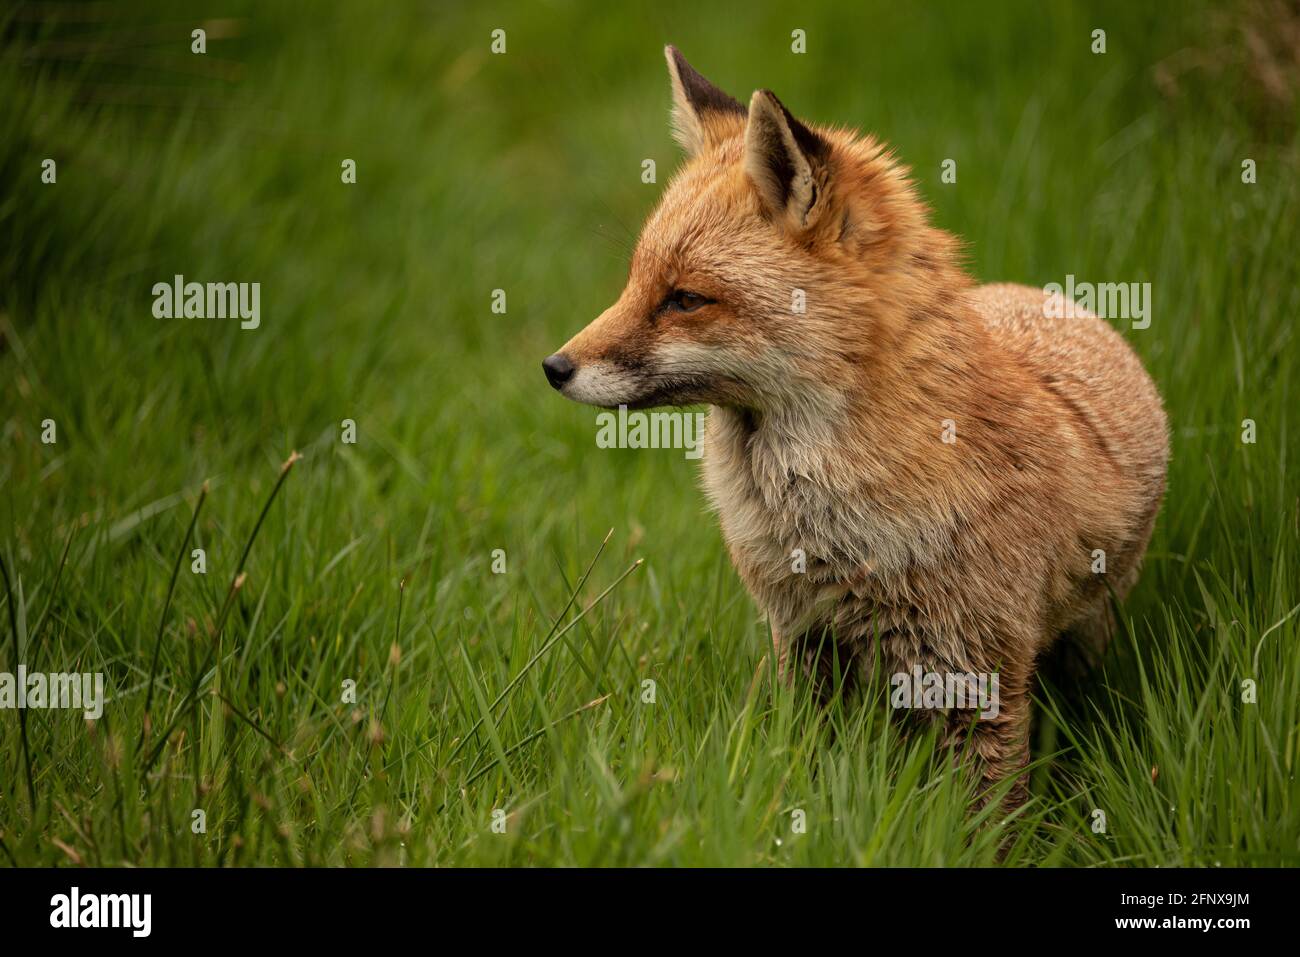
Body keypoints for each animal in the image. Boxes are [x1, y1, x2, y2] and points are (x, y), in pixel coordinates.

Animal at [543, 47, 1169, 807]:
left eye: (685, 299)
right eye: (634, 282)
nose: (554, 367)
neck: (832, 531)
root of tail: (1053, 300)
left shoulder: (974, 669)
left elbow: (984, 816)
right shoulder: (804, 641)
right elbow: (808, 767)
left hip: (1084, 637)